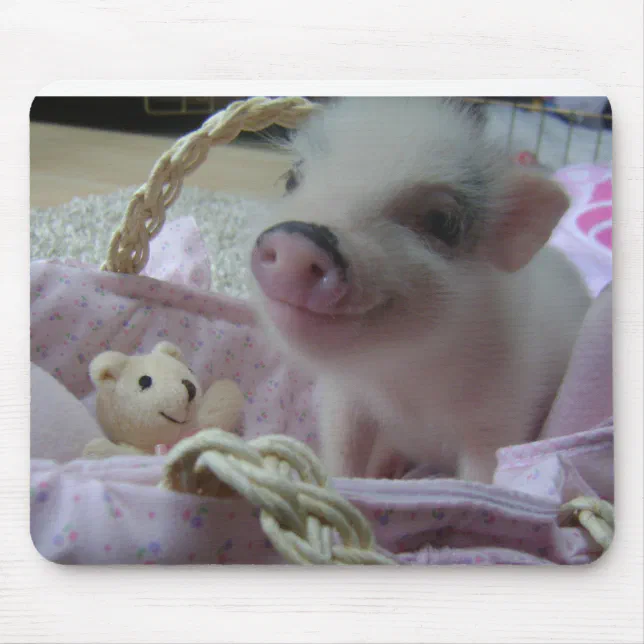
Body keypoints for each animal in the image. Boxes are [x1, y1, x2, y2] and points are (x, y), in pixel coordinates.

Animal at [247, 97, 591, 484]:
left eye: (443, 222)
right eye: (292, 180)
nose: (297, 241)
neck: (404, 387)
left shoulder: (503, 413)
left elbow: (481, 477)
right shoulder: (344, 396)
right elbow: (342, 448)